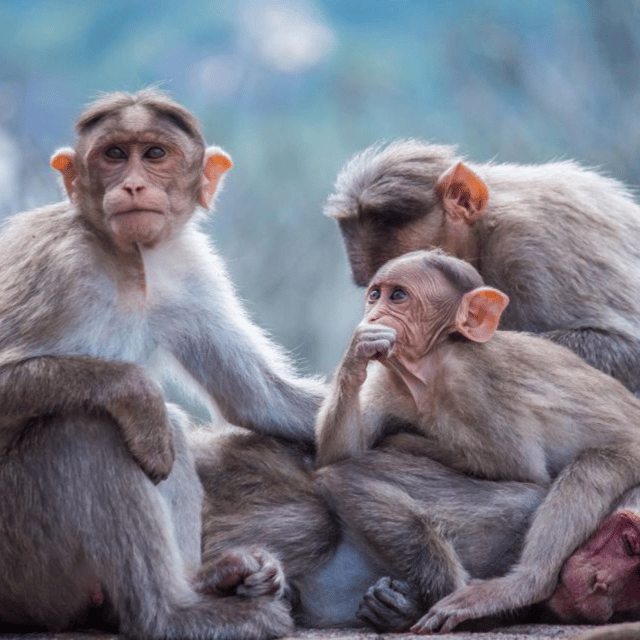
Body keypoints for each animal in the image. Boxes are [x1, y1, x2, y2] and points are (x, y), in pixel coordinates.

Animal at [0, 88, 325, 637]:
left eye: (155, 154)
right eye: (114, 155)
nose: (133, 184)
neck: (120, 258)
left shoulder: (186, 264)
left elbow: (257, 398)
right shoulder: (53, 265)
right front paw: (135, 389)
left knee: (159, 430)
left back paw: (210, 581)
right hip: (24, 565)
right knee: (92, 429)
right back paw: (171, 616)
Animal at [314, 248, 640, 633]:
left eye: (398, 296)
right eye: (375, 294)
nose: (374, 313)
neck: (432, 365)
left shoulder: (475, 387)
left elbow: (522, 470)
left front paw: (403, 442)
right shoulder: (387, 380)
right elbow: (342, 450)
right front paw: (356, 353)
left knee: (594, 467)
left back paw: (526, 583)